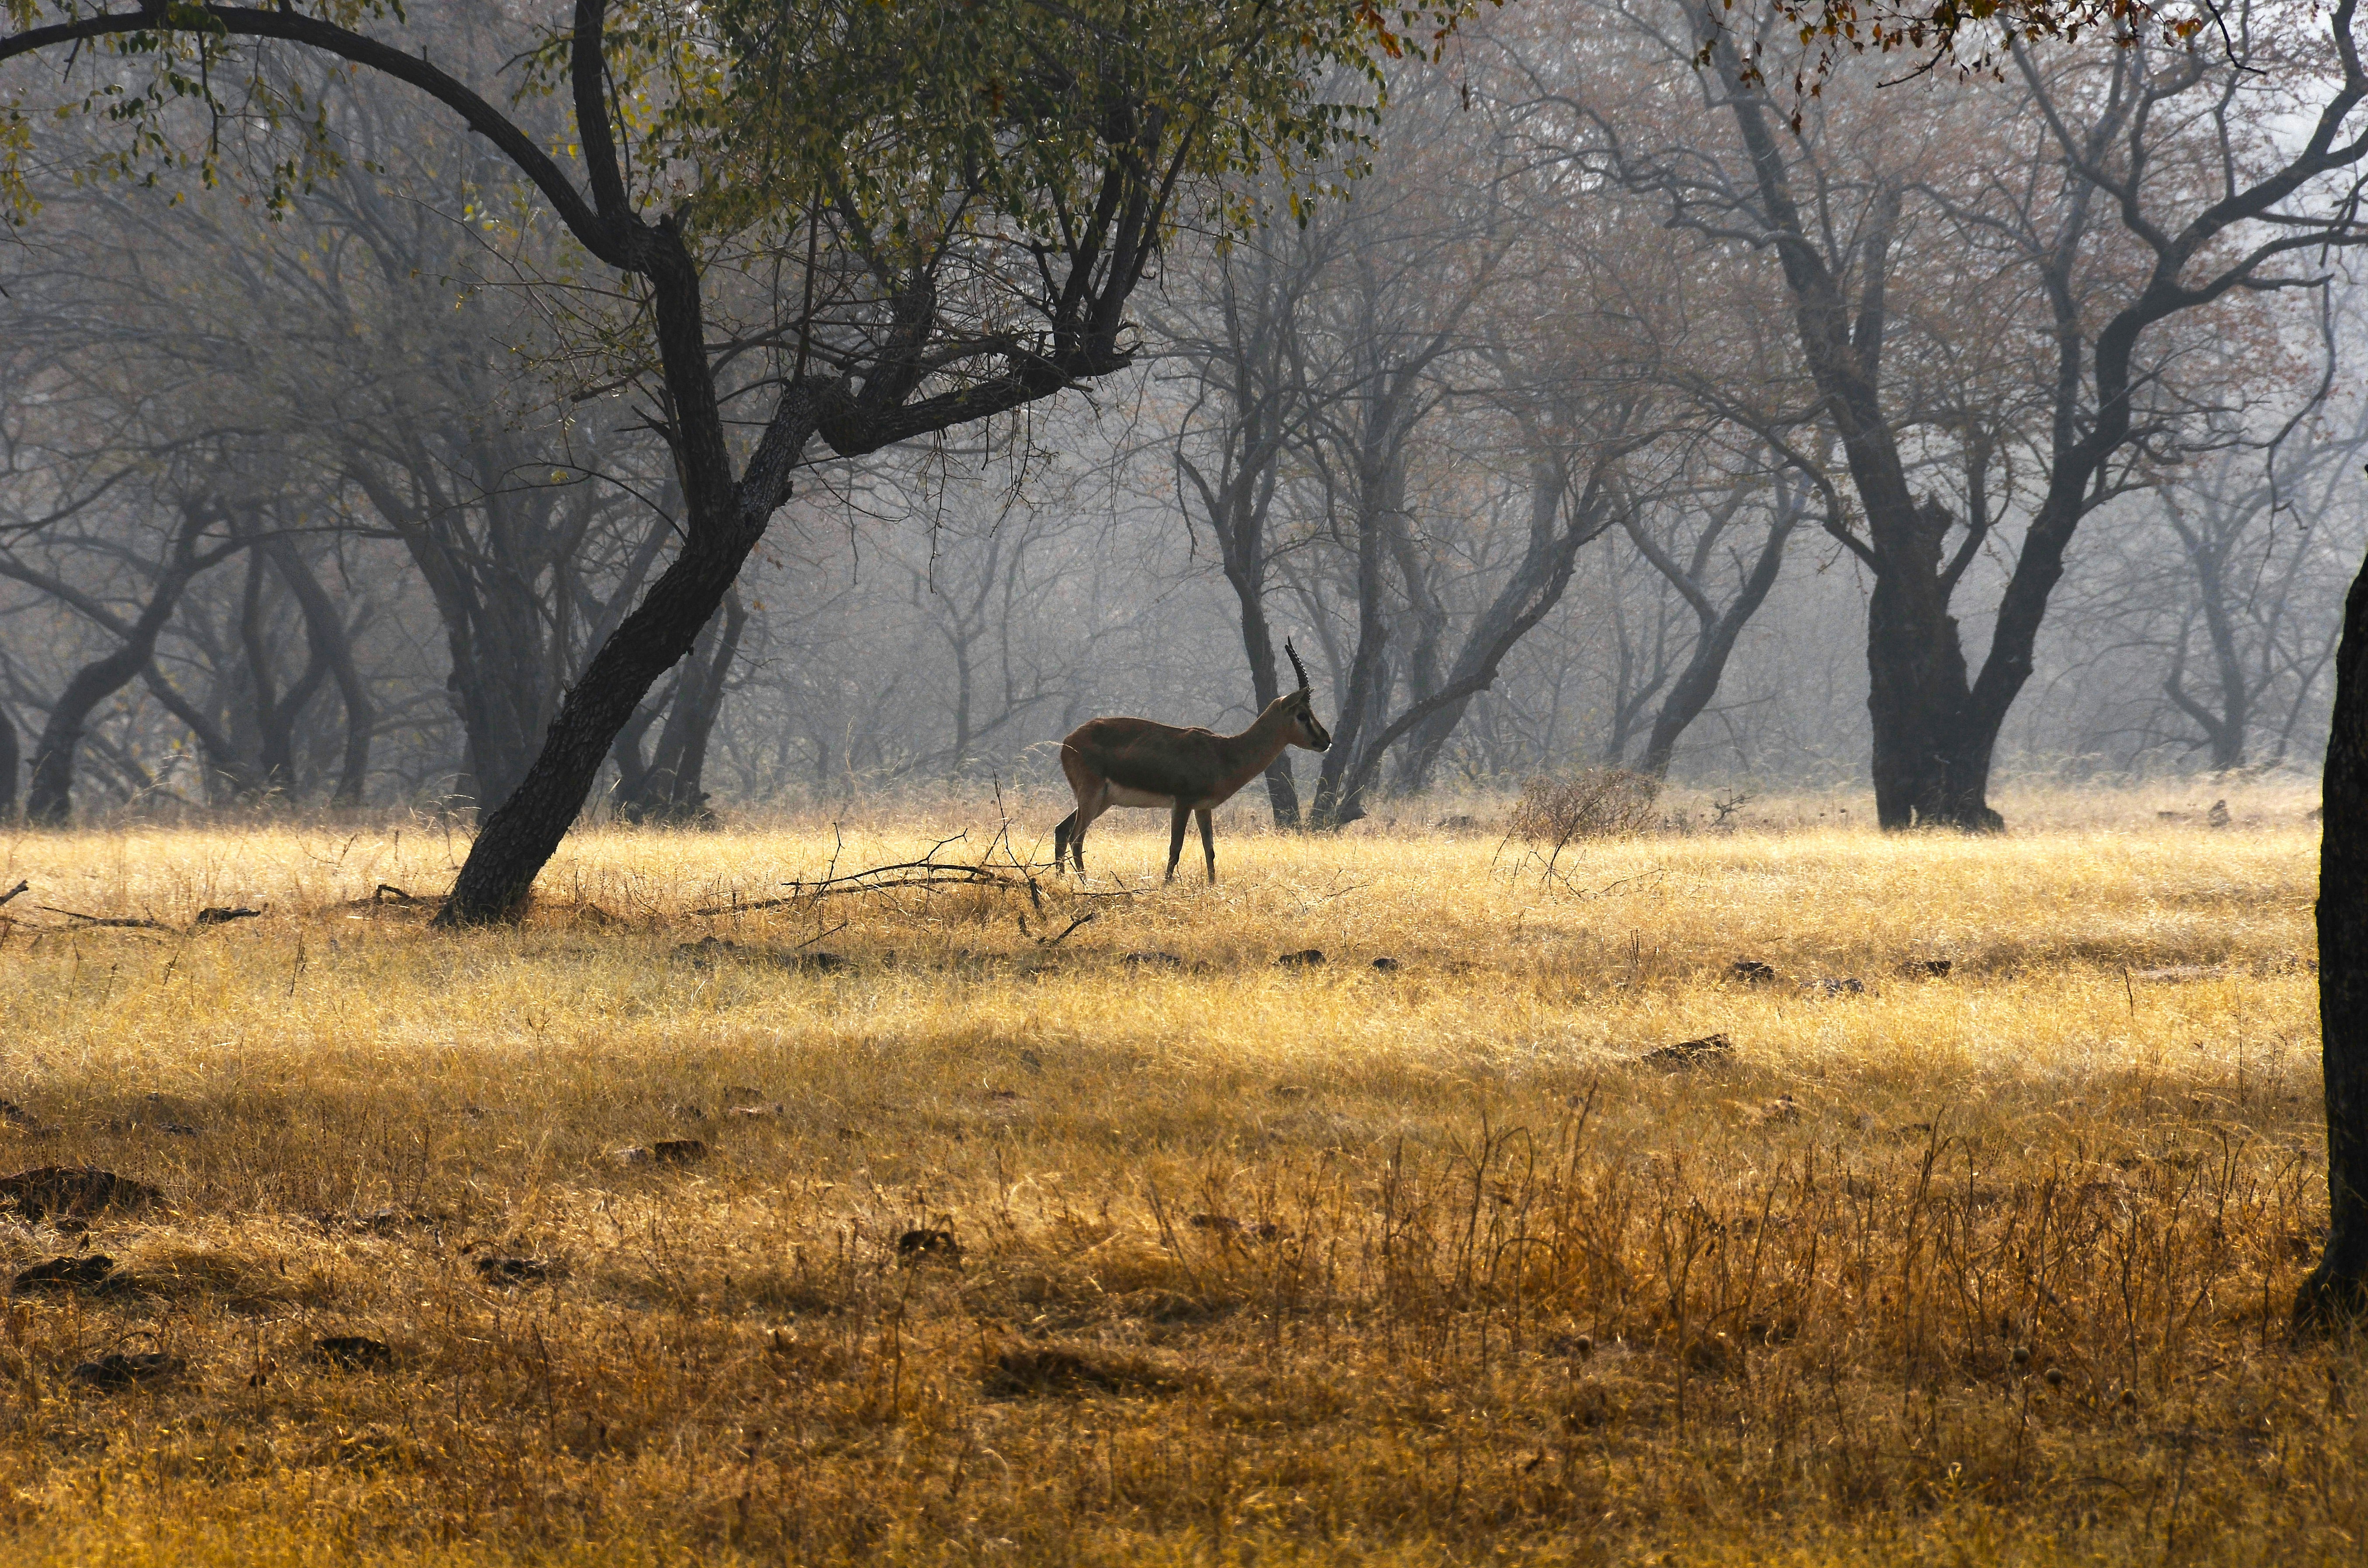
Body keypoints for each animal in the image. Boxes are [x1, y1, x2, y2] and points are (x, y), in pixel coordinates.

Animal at [1053, 639, 1331, 884]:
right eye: (1302, 715)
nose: (1326, 740)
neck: (1224, 752)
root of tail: (1069, 740)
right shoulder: (1183, 803)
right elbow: (1175, 848)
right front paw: (1165, 888)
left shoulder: (1203, 808)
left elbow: (1210, 850)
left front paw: (1212, 887)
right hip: (1092, 796)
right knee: (1077, 838)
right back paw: (1087, 885)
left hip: (1102, 801)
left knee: (1062, 830)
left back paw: (1062, 881)